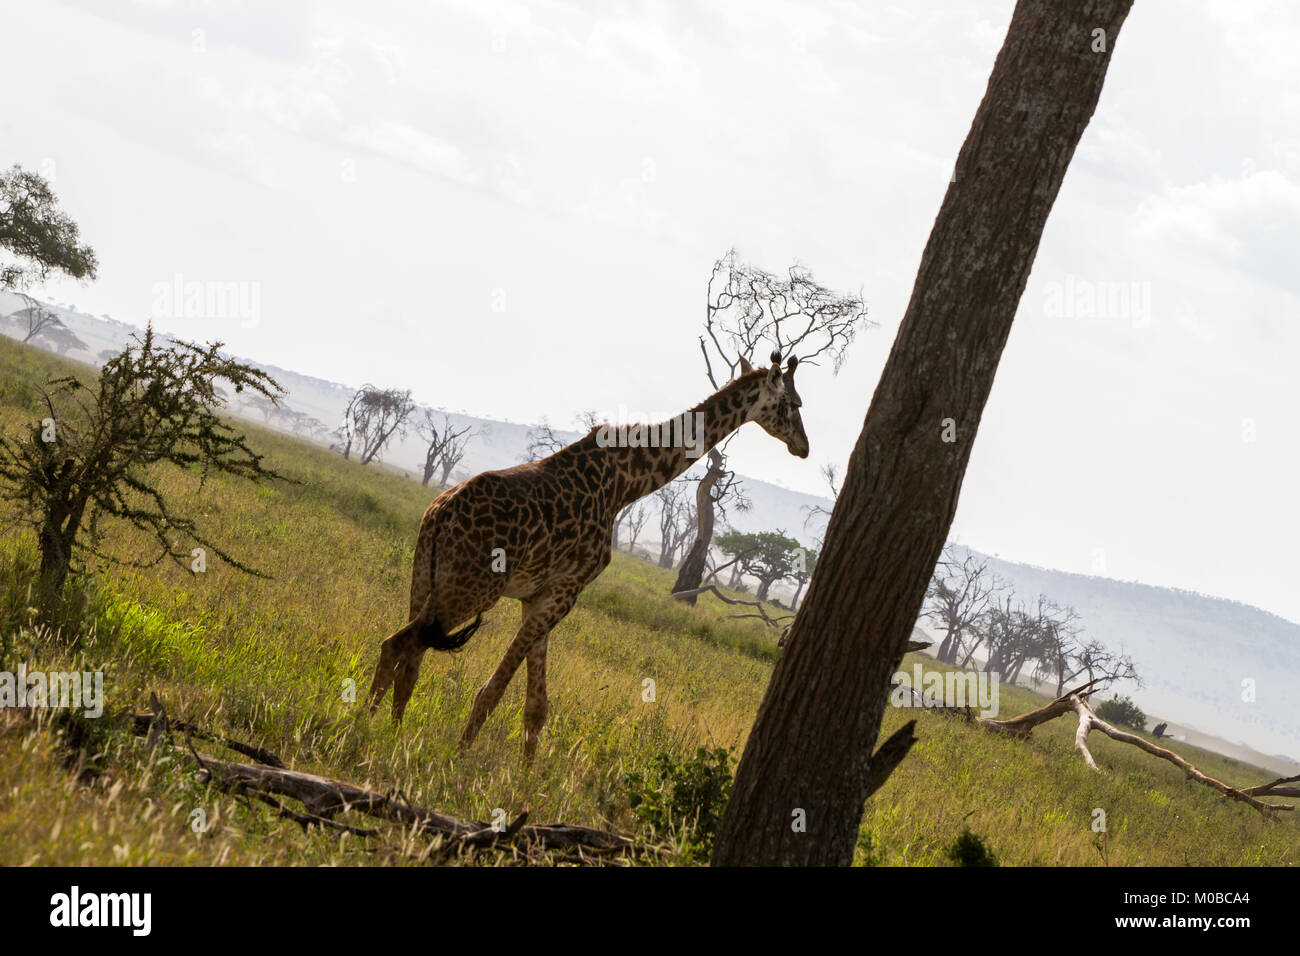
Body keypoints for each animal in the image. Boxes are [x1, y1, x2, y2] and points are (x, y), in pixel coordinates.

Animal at [367, 350, 810, 760]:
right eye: (794, 404)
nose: (803, 447)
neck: (627, 483)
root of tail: (440, 513)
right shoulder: (565, 592)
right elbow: (493, 691)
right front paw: (459, 761)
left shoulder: (539, 597)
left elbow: (536, 707)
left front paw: (524, 780)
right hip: (471, 589)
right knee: (399, 644)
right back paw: (372, 733)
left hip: (425, 577)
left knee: (408, 654)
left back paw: (382, 733)